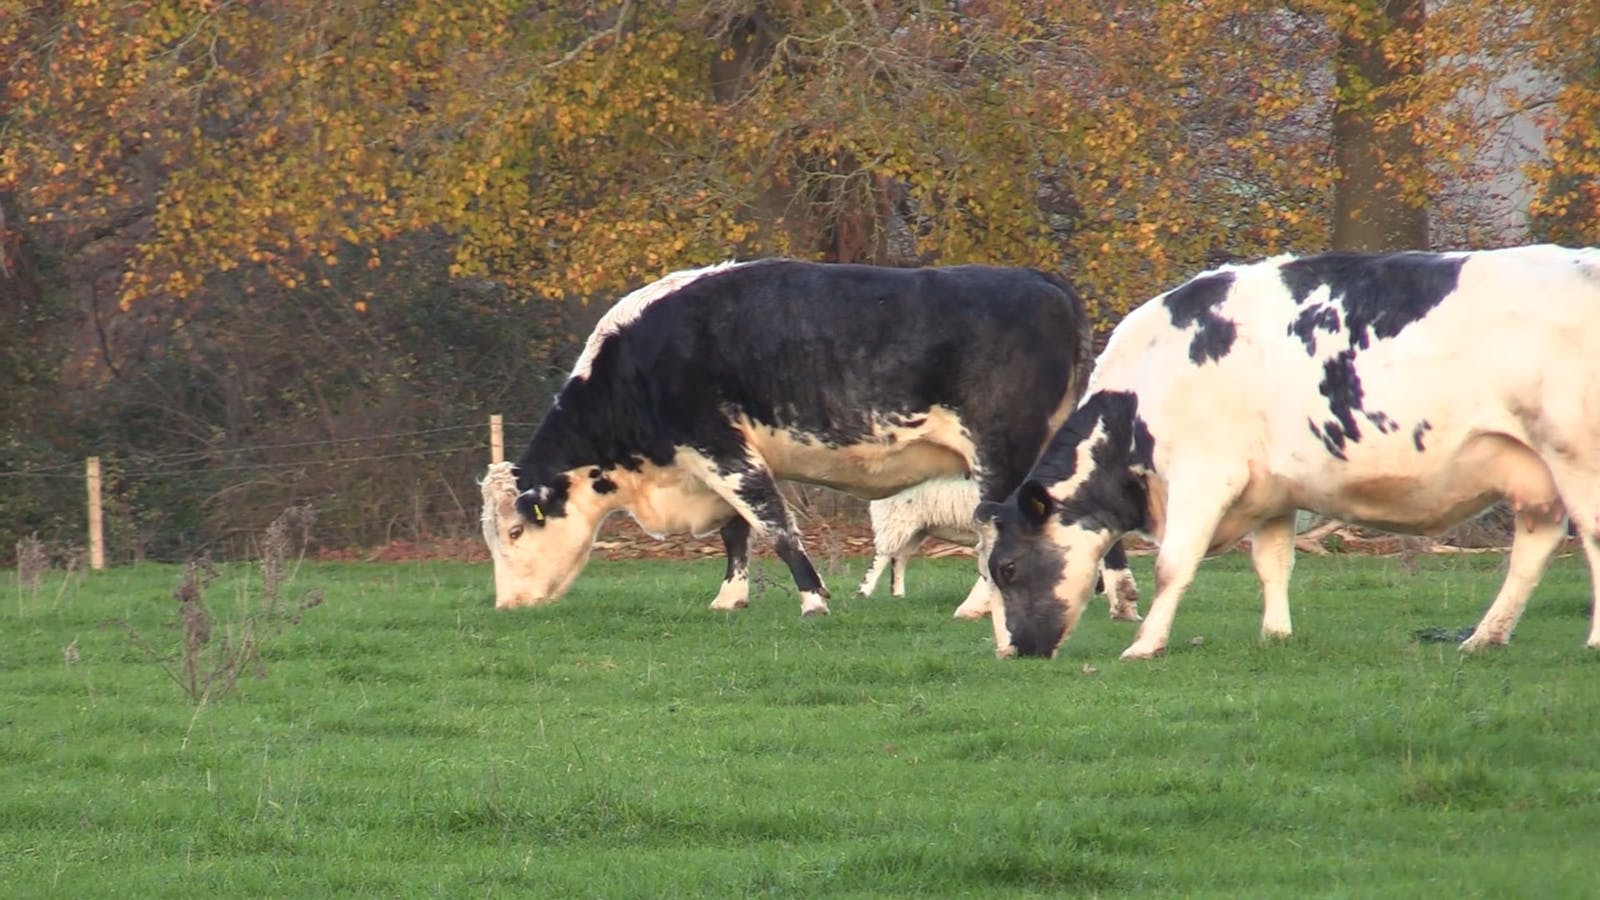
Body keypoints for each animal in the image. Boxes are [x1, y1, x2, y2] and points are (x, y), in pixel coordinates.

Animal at [858, 478, 1141, 621]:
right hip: (895, 519)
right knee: (882, 557)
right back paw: (864, 592)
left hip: (917, 526)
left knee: (900, 557)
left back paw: (897, 593)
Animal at [976, 244, 1600, 659]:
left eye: (1006, 567)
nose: (1016, 650)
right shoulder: (1273, 489)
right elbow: (1273, 563)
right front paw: (1275, 634)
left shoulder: (1204, 475)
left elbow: (1173, 564)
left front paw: (1145, 645)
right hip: (1535, 472)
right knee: (1534, 547)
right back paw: (1484, 637)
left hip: (1576, 455)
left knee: (1590, 537)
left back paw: (1590, 641)